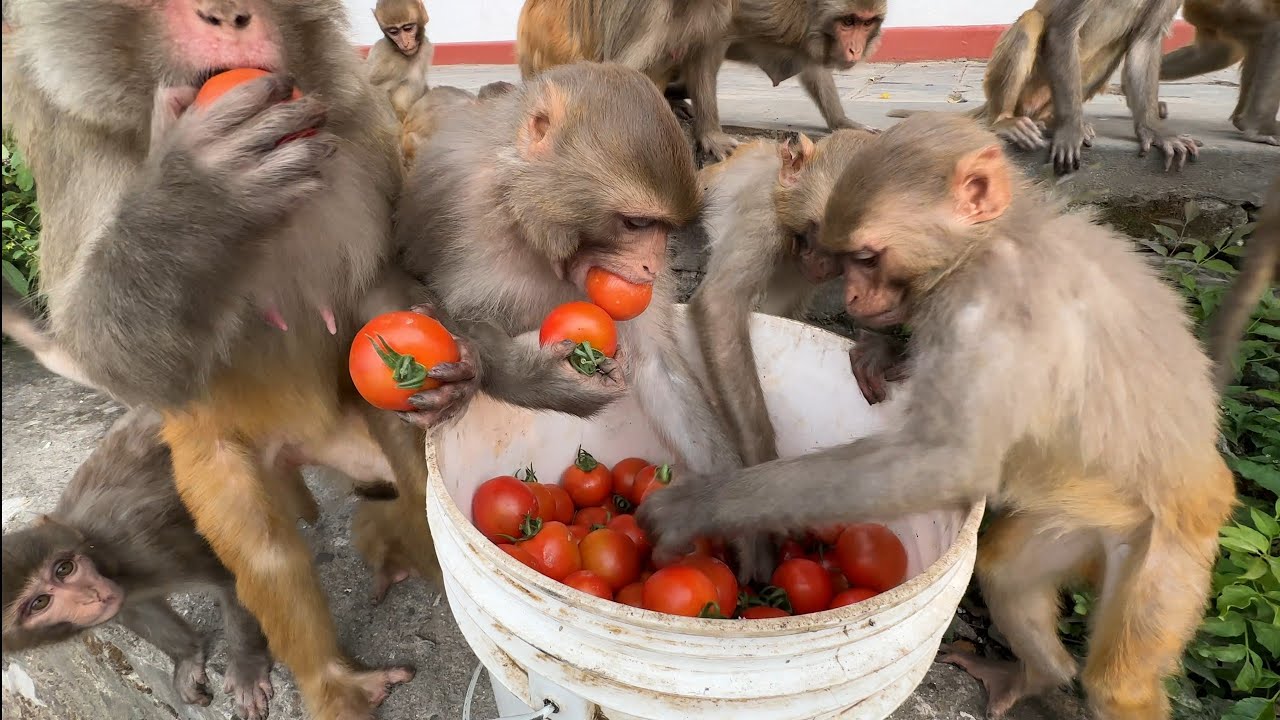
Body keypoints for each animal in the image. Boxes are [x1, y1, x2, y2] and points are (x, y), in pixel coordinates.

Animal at [2, 408, 290, 720]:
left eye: (64, 569)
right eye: (39, 603)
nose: (92, 594)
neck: (102, 553)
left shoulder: (149, 546)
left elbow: (238, 574)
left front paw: (246, 671)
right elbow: (139, 612)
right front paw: (187, 657)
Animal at [689, 128, 913, 466]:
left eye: (852, 253)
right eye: (818, 231)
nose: (821, 265)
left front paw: (885, 351)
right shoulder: (765, 215)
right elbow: (719, 304)